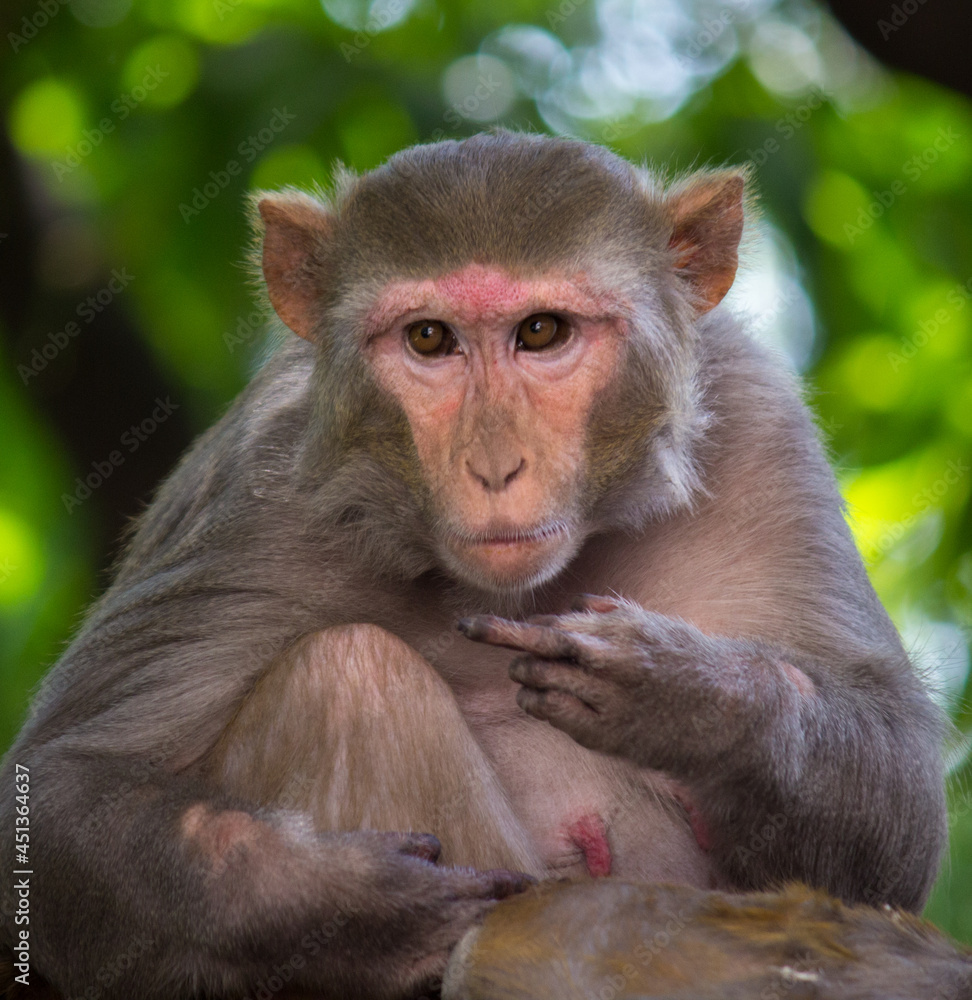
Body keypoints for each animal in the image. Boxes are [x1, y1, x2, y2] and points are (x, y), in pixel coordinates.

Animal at [0, 131, 947, 1000]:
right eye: (430, 339)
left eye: (541, 332)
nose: (494, 468)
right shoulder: (266, 490)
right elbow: (60, 792)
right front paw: (344, 908)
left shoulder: (759, 422)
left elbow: (894, 824)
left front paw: (689, 696)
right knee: (348, 673)